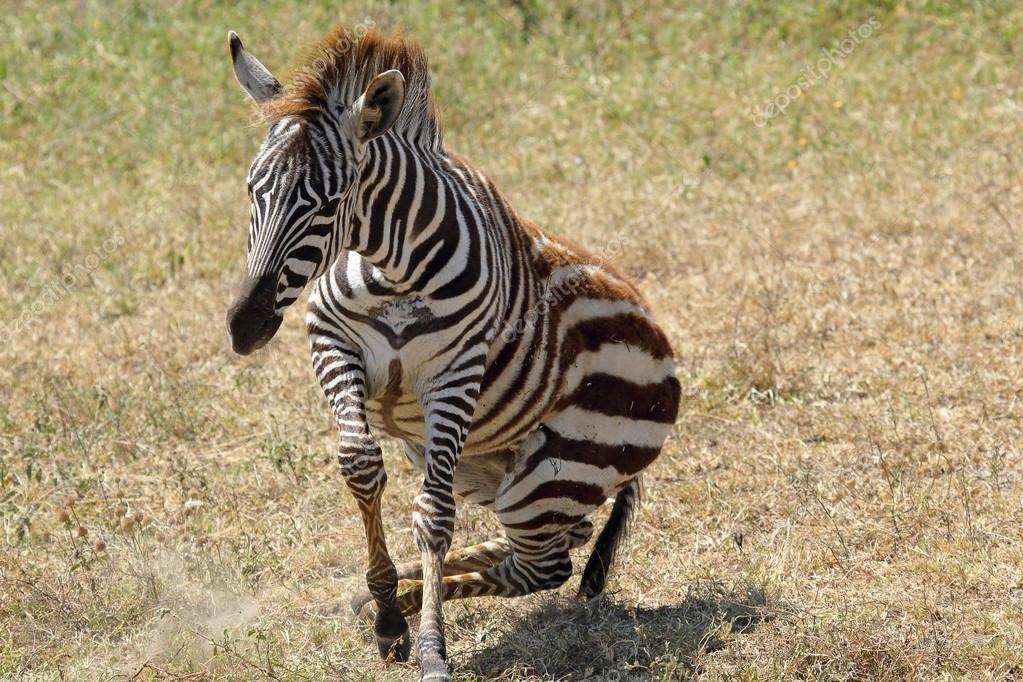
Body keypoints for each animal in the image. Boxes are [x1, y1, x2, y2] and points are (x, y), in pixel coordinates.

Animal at [225, 24, 681, 682]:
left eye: (328, 204)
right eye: (251, 191)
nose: (245, 327)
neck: (394, 275)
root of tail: (666, 355)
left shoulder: (454, 376)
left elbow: (432, 516)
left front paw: (425, 643)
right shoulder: (332, 343)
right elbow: (360, 465)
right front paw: (387, 600)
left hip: (547, 479)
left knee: (544, 566)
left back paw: (416, 594)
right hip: (494, 473)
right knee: (562, 543)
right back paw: (391, 589)